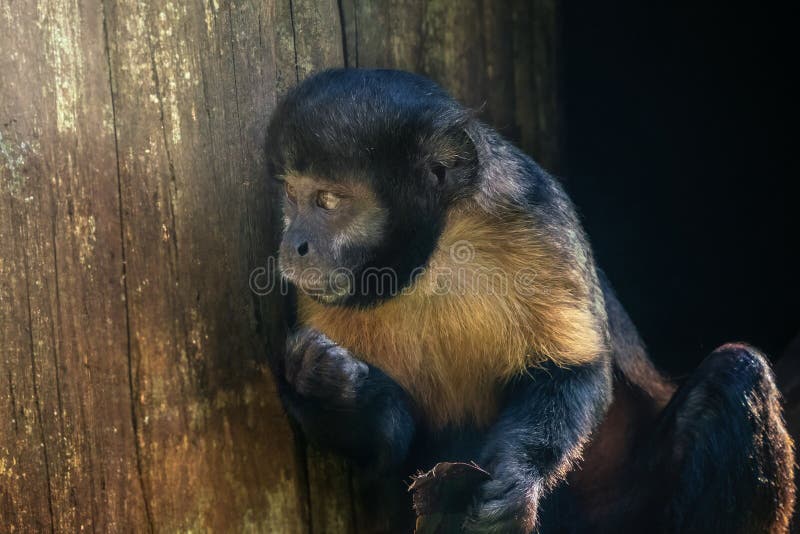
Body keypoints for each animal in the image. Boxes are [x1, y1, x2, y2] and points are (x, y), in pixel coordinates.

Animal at [265, 68, 795, 533]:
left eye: (328, 201)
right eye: (293, 196)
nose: (294, 243)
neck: (431, 255)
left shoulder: (534, 213)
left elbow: (574, 373)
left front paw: (519, 480)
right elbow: (392, 442)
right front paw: (327, 384)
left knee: (735, 371)